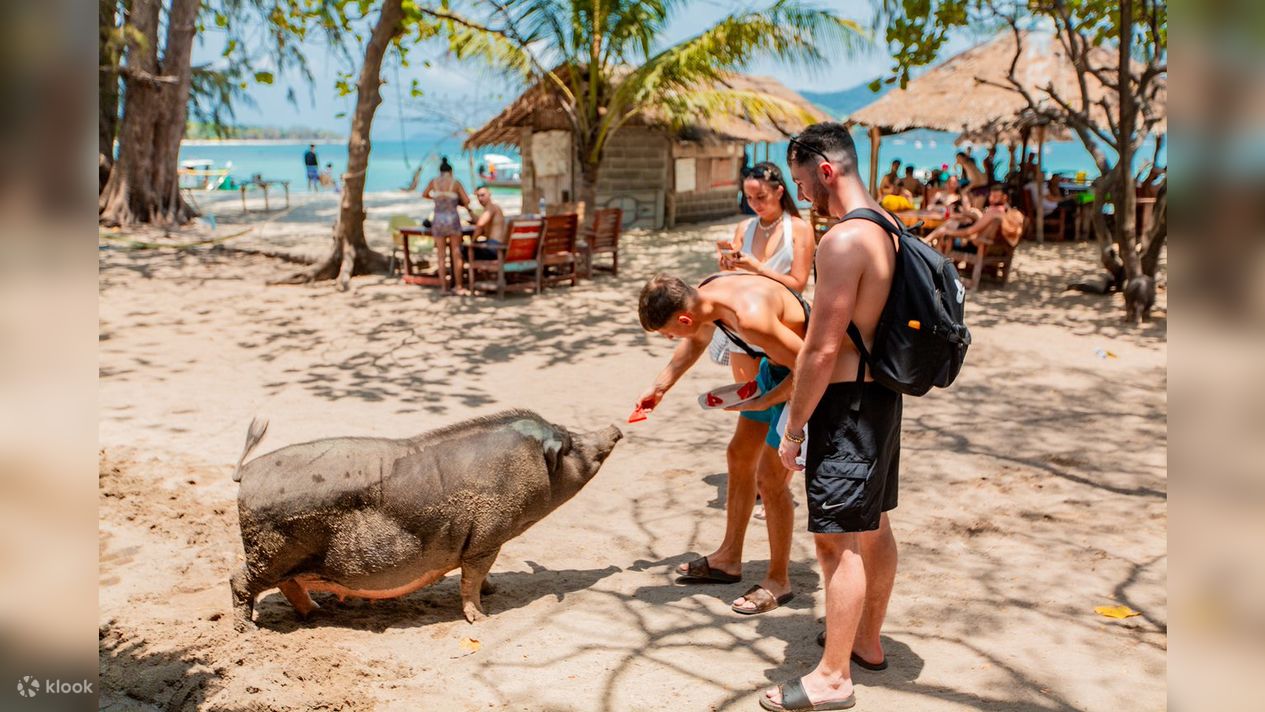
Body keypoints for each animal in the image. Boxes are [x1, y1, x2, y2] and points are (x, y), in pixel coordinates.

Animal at [229, 410, 622, 631]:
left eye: (568, 432)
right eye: (570, 444)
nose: (615, 428)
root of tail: (246, 473)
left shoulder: (485, 542)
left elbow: (480, 576)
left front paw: (494, 591)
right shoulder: (487, 537)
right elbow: (471, 579)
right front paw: (483, 619)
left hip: (284, 558)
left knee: (288, 585)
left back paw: (316, 612)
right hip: (270, 553)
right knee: (239, 581)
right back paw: (249, 632)